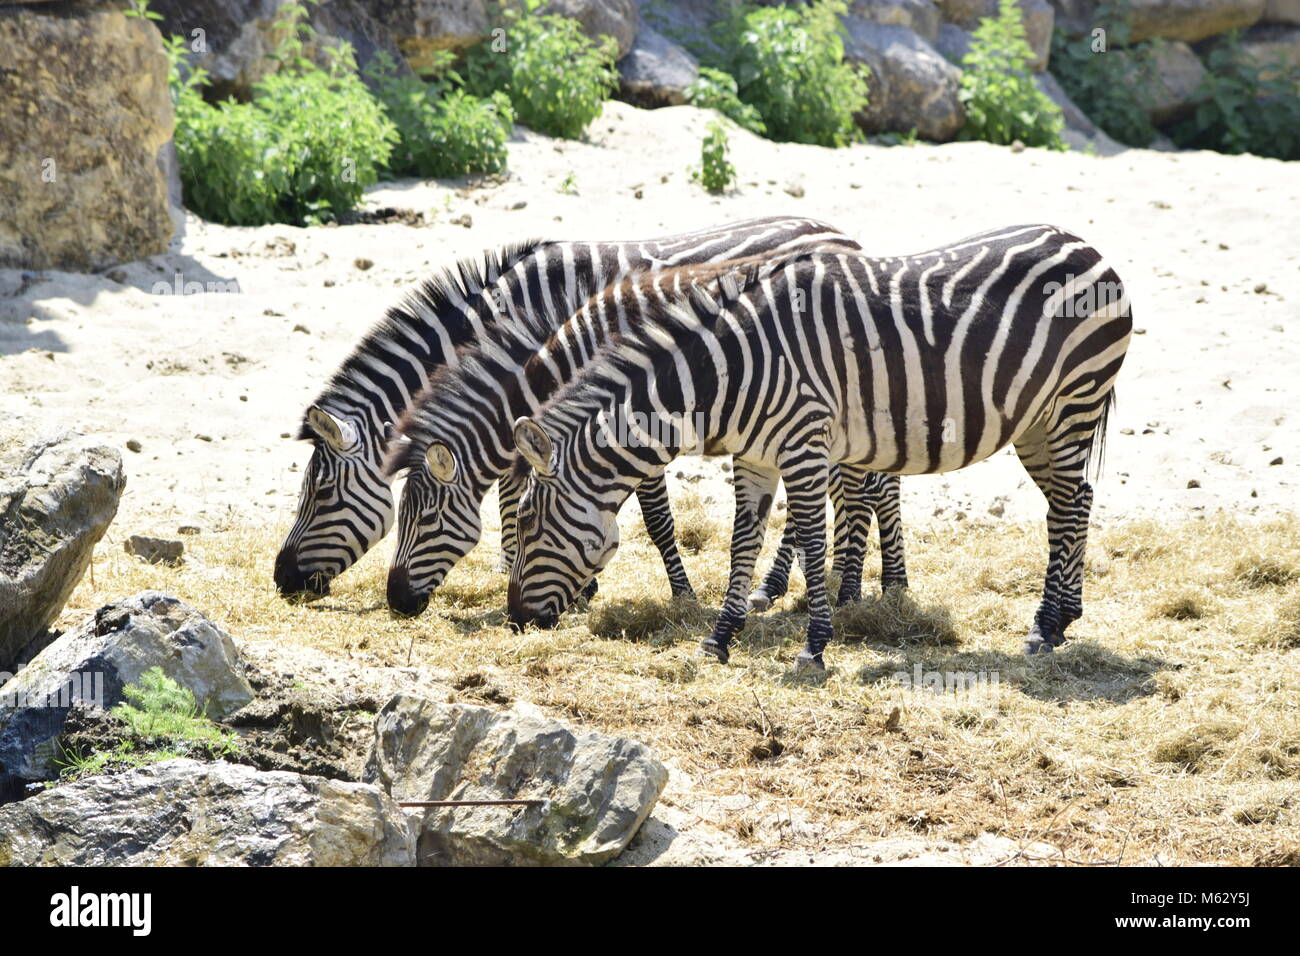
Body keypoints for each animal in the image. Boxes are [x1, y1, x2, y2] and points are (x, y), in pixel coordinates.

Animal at [273, 217, 871, 600]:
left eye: (321, 496)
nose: (282, 579)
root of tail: (841, 234)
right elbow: (517, 491)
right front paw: (522, 570)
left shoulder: (627, 408)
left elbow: (653, 515)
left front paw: (677, 593)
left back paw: (796, 586)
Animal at [384, 249, 908, 616]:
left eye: (425, 520)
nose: (396, 602)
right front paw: (579, 586)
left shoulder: (633, 426)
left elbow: (655, 519)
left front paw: (682, 594)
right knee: (857, 487)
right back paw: (840, 581)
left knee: (872, 487)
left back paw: (870, 585)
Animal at [506, 225, 1132, 669]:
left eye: (531, 523)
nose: (514, 621)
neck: (727, 374)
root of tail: (1087, 245)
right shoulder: (754, 457)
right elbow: (742, 542)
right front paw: (720, 637)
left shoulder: (804, 442)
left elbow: (810, 534)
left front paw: (814, 644)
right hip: (1038, 421)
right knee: (1073, 500)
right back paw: (1064, 617)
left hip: (1074, 402)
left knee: (1070, 504)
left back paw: (1045, 625)